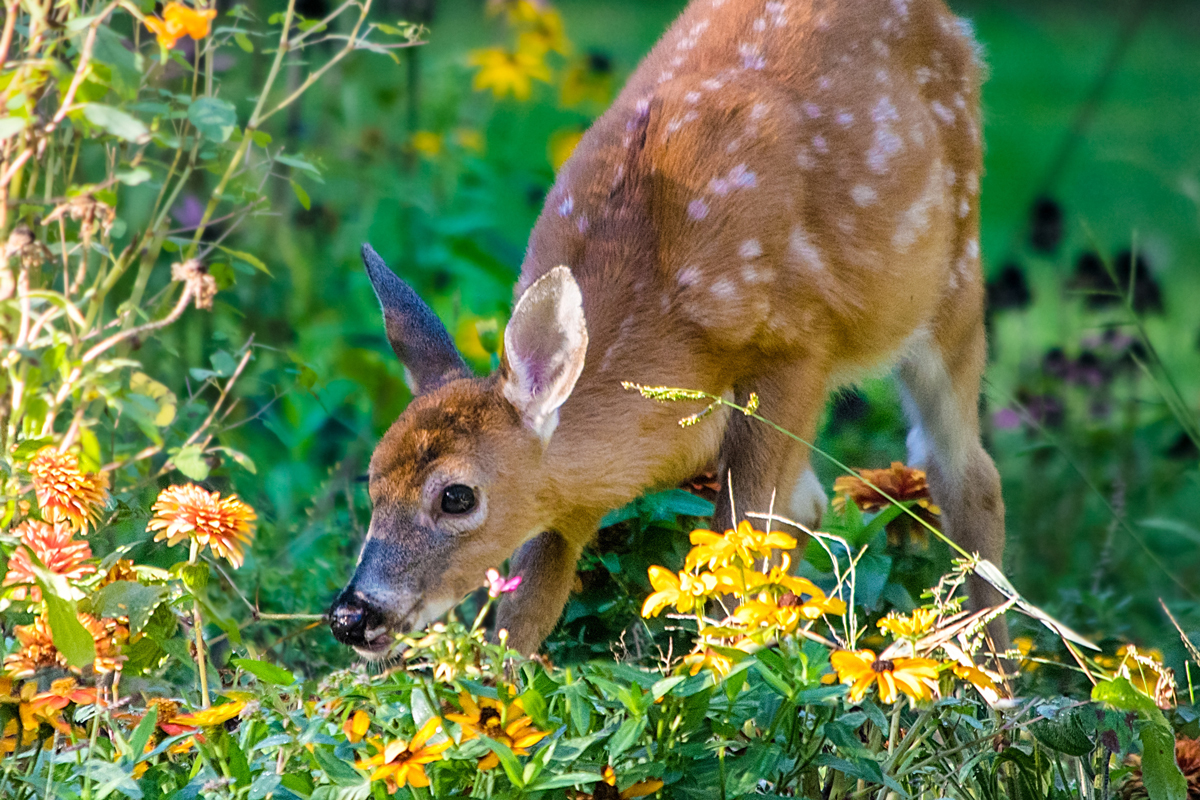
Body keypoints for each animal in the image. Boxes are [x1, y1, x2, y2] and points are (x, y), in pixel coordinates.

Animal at [329, 0, 1009, 659]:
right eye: (372, 481)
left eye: (457, 496)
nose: (351, 615)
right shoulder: (574, 491)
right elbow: (528, 609)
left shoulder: (797, 349)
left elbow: (739, 542)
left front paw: (720, 674)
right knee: (818, 507)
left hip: (954, 275)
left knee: (966, 474)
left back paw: (997, 671)